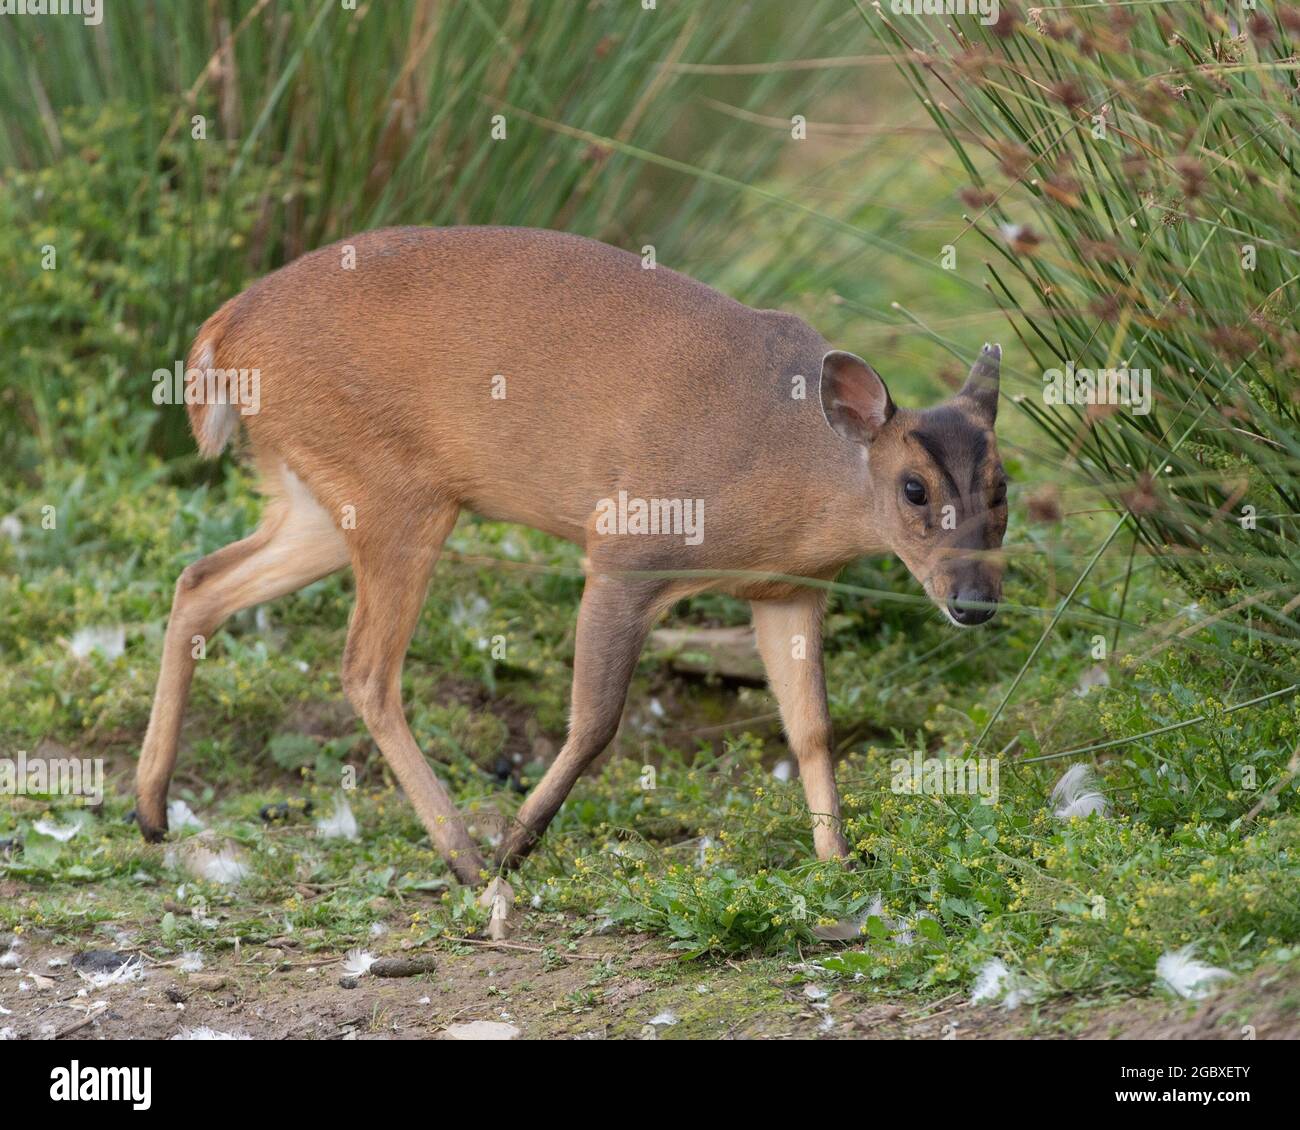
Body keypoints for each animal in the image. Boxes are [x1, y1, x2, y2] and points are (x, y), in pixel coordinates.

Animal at [136, 226, 1006, 899]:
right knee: (364, 668)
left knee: (200, 580)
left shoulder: (787, 592)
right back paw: (466, 857)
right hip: (394, 493)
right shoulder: (626, 546)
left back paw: (151, 811)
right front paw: (518, 841)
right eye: (914, 487)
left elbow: (814, 730)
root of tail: (223, 330)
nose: (975, 601)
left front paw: (839, 863)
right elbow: (595, 719)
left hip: (320, 498)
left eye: (1003, 486)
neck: (783, 464)